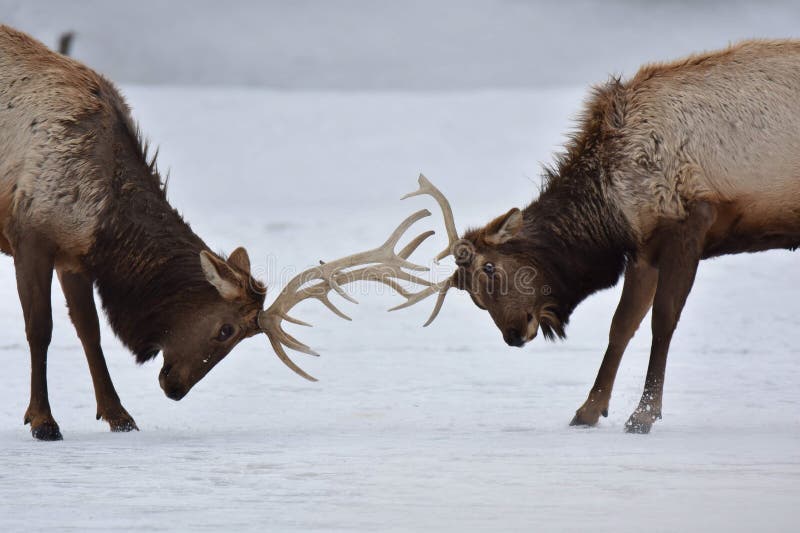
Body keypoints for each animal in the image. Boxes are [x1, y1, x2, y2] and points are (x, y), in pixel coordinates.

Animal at [0, 25, 445, 441]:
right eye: (226, 329)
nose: (175, 389)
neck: (103, 212)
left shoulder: (75, 254)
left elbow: (89, 332)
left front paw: (120, 416)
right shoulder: (31, 236)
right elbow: (40, 329)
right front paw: (42, 421)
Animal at [394, 41, 800, 433]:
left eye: (491, 268)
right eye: (472, 295)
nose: (513, 334)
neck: (611, 202)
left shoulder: (690, 220)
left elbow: (663, 320)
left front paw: (643, 415)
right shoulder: (643, 247)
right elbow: (621, 326)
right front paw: (588, 410)